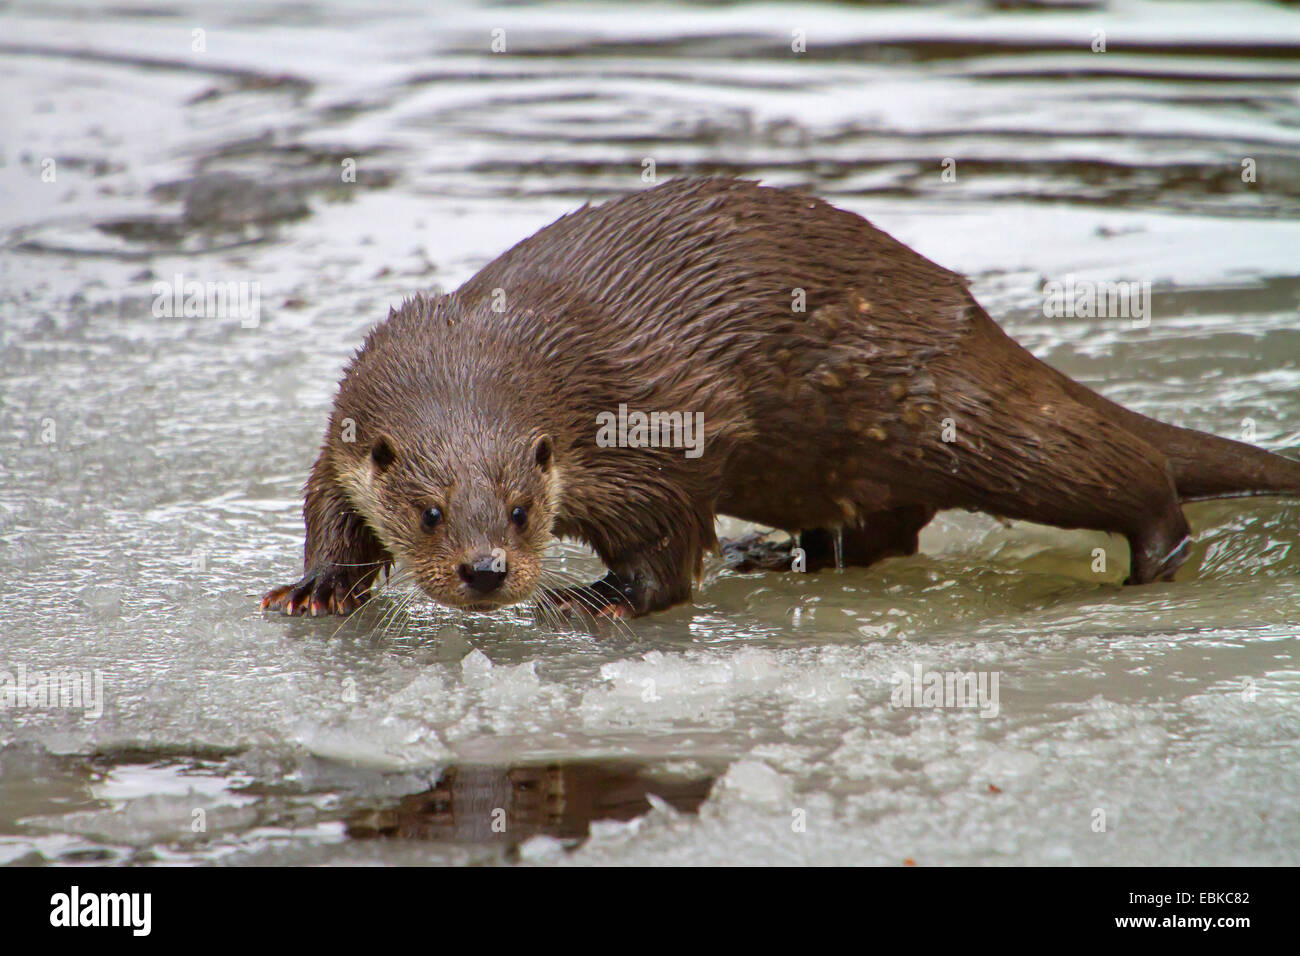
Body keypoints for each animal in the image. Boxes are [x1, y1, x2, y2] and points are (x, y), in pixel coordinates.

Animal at [262, 177, 1300, 619]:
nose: (486, 574)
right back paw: (779, 556)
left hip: (973, 418)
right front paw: (316, 586)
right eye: (431, 513)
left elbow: (669, 541)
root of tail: (965, 308)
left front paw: (602, 598)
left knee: (1125, 469)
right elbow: (329, 510)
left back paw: (1152, 566)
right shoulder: (339, 438)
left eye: (521, 511)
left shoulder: (659, 428)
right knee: (882, 529)